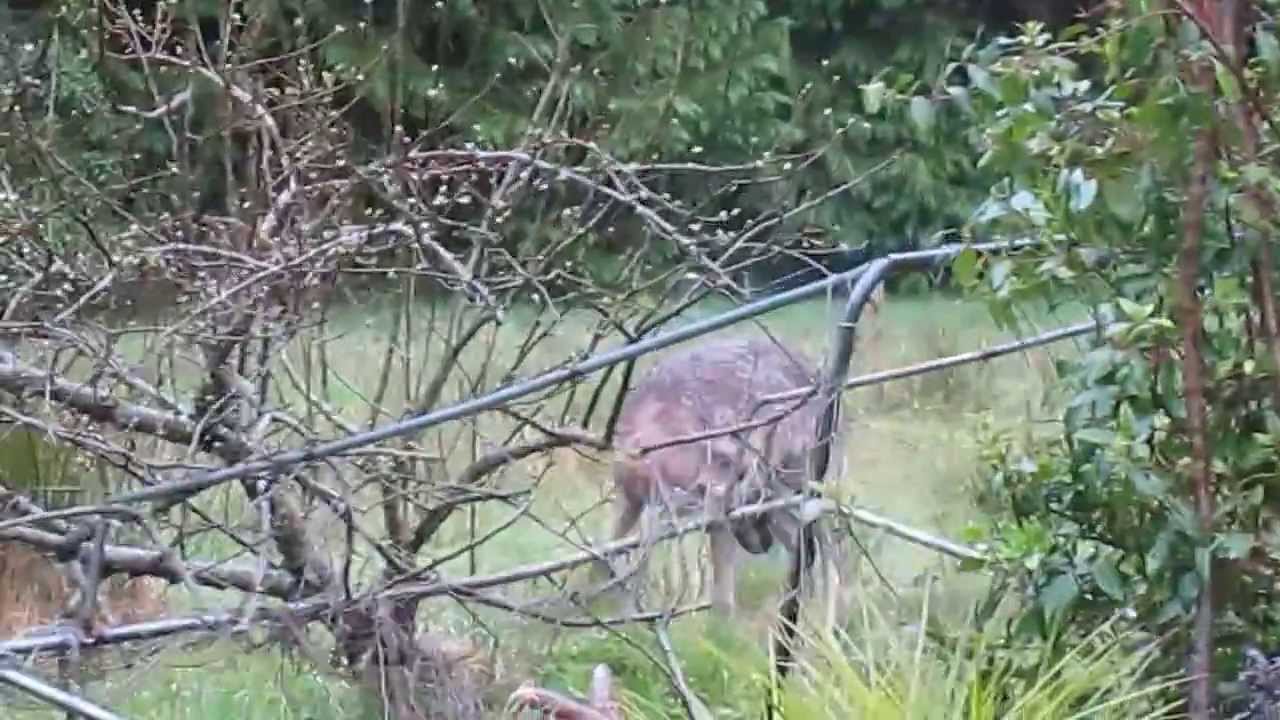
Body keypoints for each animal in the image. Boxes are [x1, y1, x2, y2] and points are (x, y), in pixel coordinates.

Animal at [601, 334, 844, 616]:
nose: (762, 544)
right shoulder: (638, 500)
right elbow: (608, 549)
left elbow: (714, 591)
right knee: (811, 546)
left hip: (803, 479)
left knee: (826, 548)